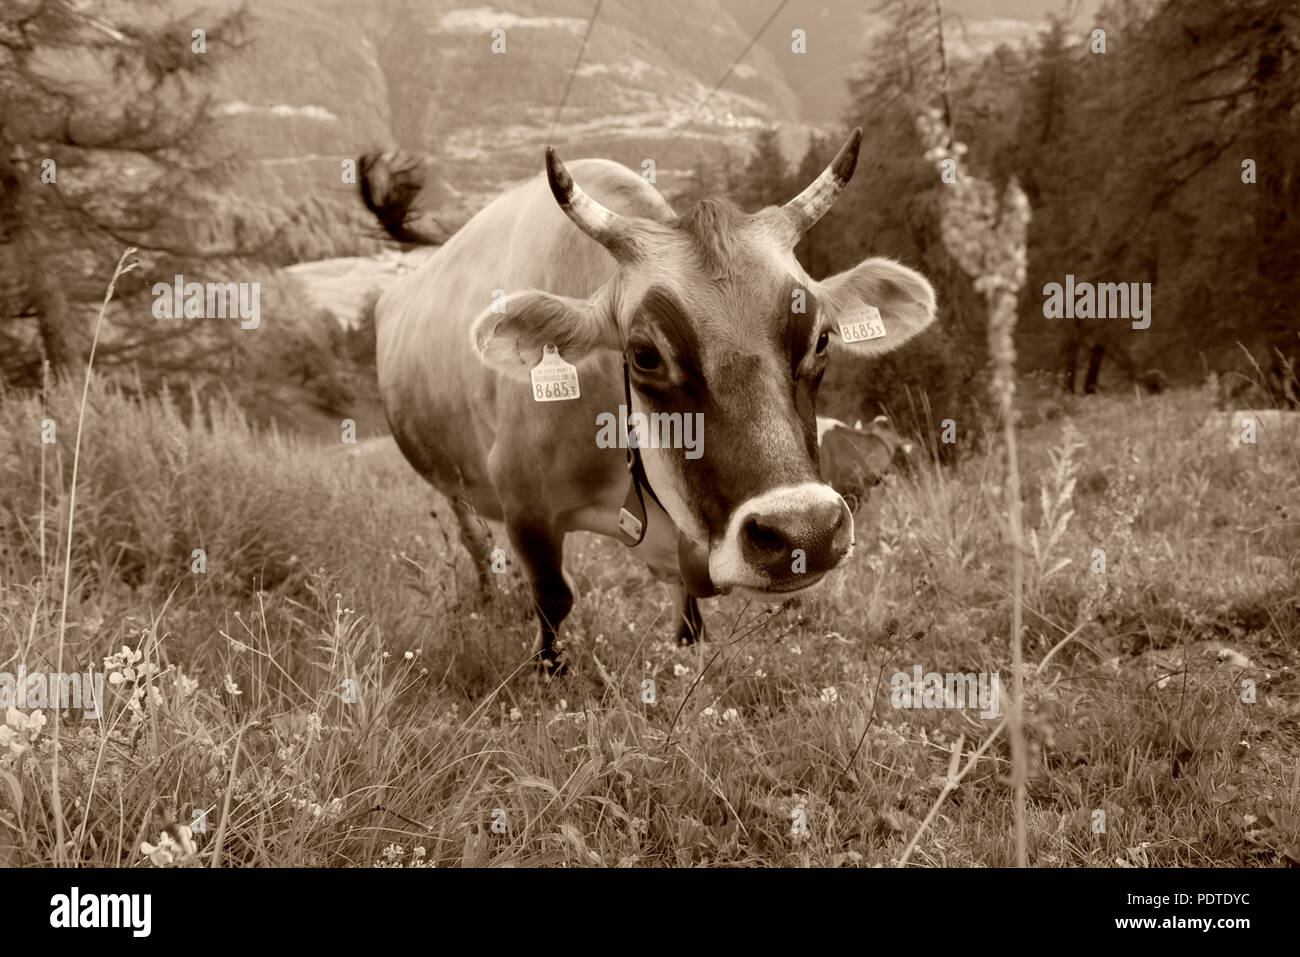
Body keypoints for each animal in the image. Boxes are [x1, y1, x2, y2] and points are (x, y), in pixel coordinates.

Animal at [361, 129, 937, 673]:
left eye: (820, 340)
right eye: (643, 354)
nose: (805, 533)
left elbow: (687, 606)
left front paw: (687, 647)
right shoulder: (524, 505)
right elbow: (553, 597)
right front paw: (550, 669)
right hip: (449, 481)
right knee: (474, 541)